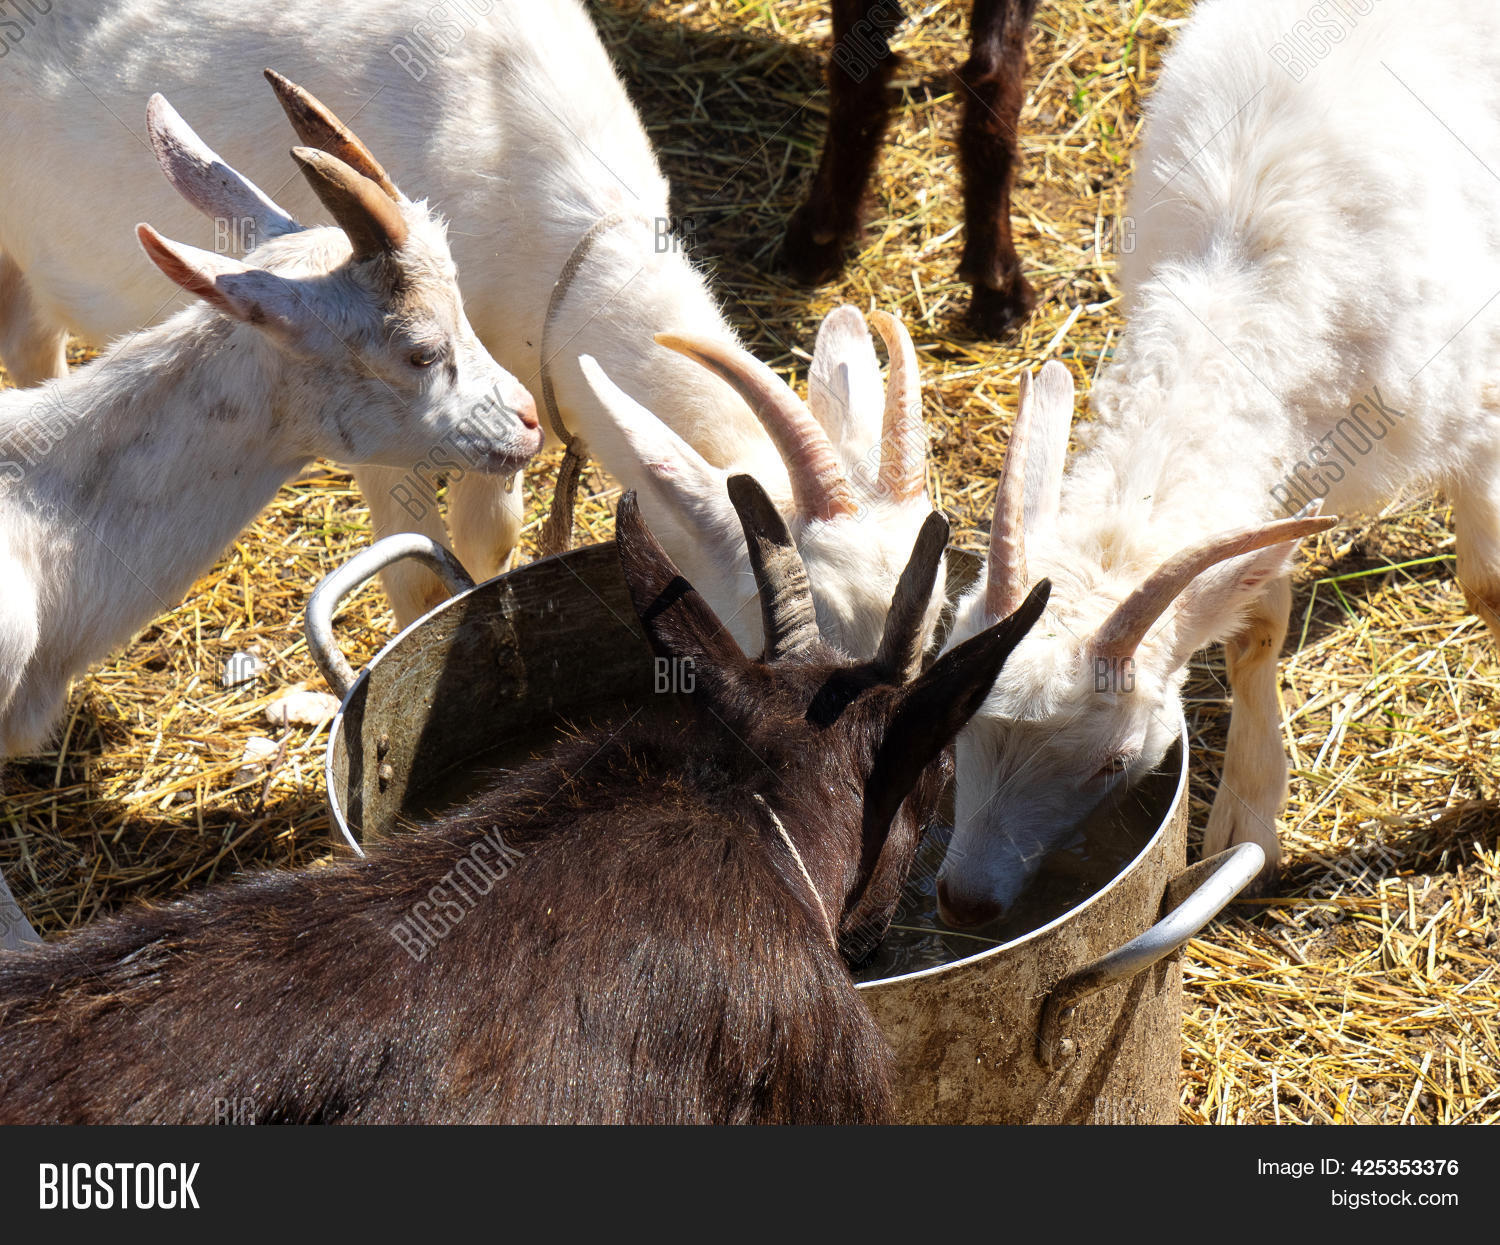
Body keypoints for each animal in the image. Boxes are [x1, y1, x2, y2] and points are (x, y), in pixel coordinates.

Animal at [933, 0, 1500, 925]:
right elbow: (1256, 623)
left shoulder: (1477, 413)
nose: (966, 902)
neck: (1246, 268)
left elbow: (1487, 587)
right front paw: (1249, 814)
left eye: (1113, 761)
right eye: (959, 719)